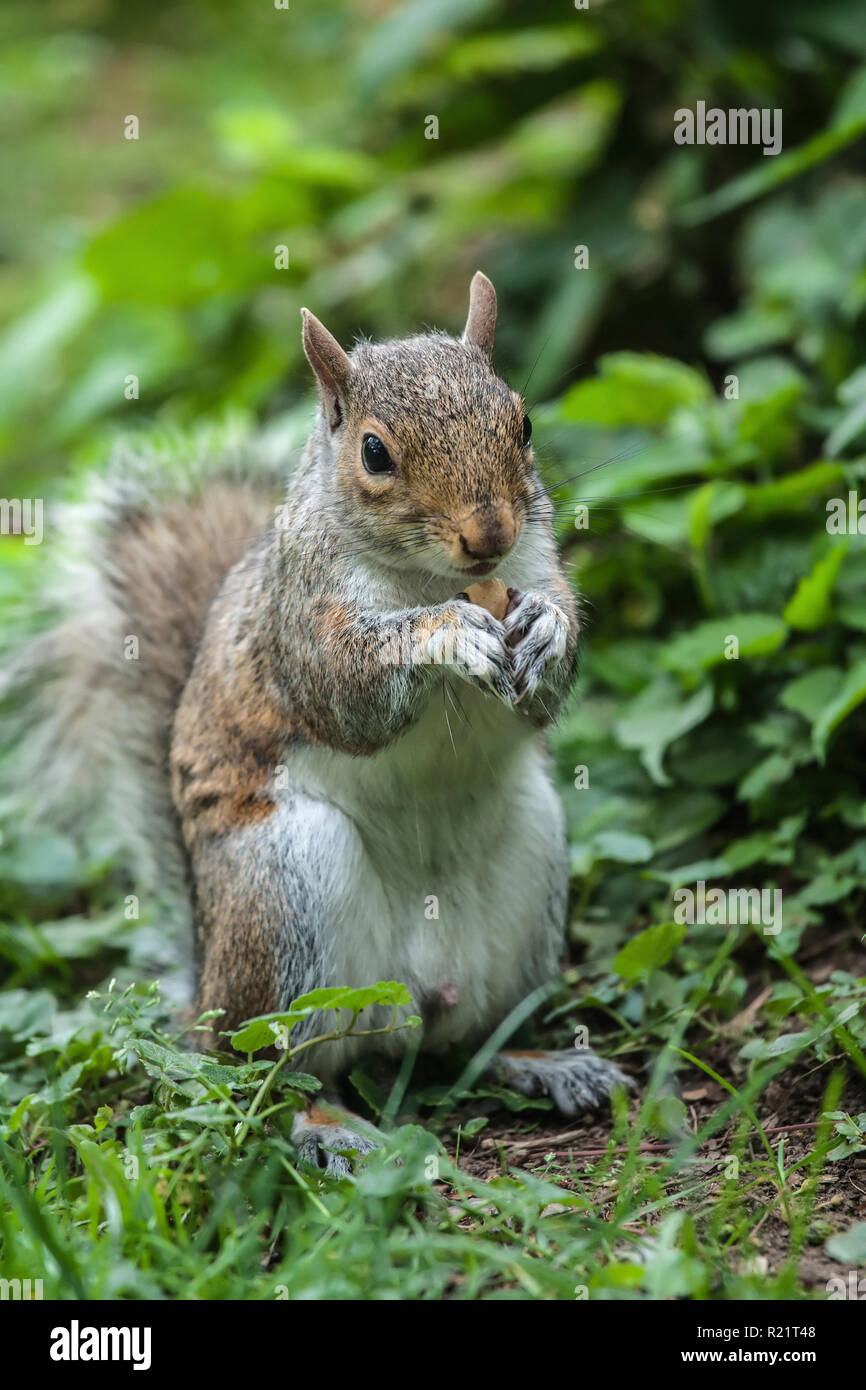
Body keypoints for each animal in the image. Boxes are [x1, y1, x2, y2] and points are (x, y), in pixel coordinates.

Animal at [20, 273, 629, 1171]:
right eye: (374, 453)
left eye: (522, 422)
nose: (489, 534)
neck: (426, 576)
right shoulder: (301, 625)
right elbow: (345, 693)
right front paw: (444, 633)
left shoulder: (534, 566)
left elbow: (548, 678)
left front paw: (547, 630)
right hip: (283, 899)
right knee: (274, 1073)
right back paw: (328, 1129)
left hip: (532, 865)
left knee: (473, 1042)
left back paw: (546, 1061)